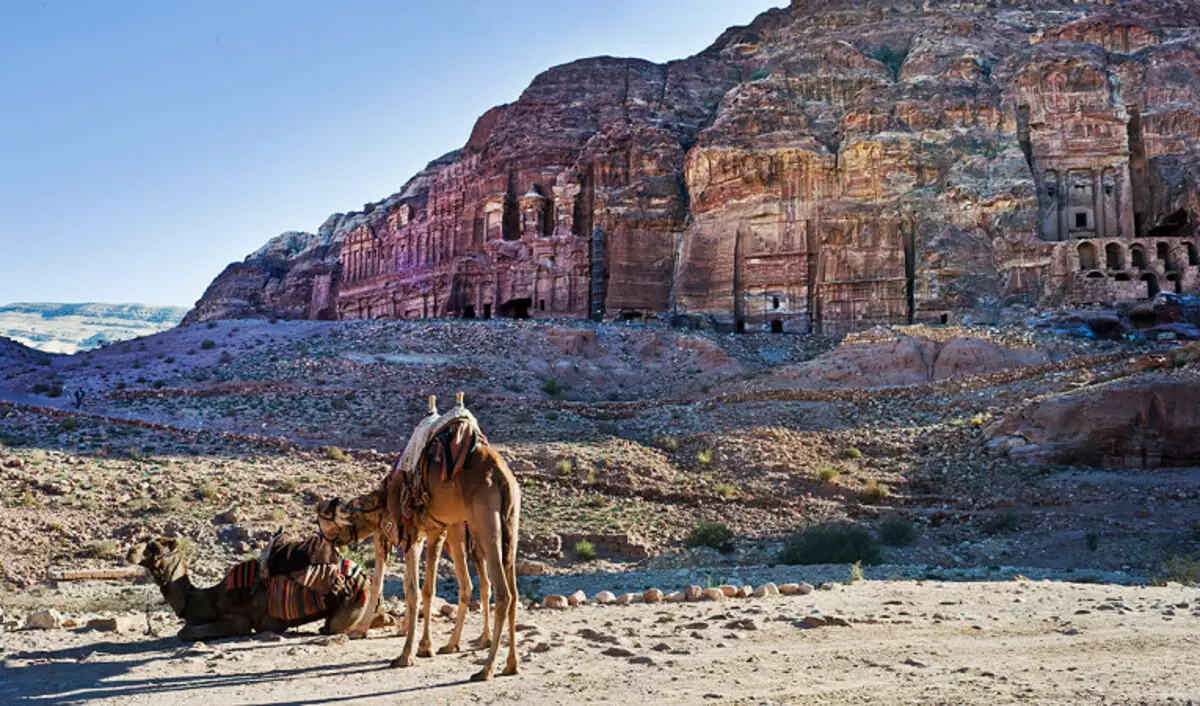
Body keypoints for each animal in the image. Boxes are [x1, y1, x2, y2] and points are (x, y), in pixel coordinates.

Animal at [130, 535, 364, 638]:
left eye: (154, 547)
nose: (130, 552)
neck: (212, 599)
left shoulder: (239, 621)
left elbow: (183, 633)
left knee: (334, 626)